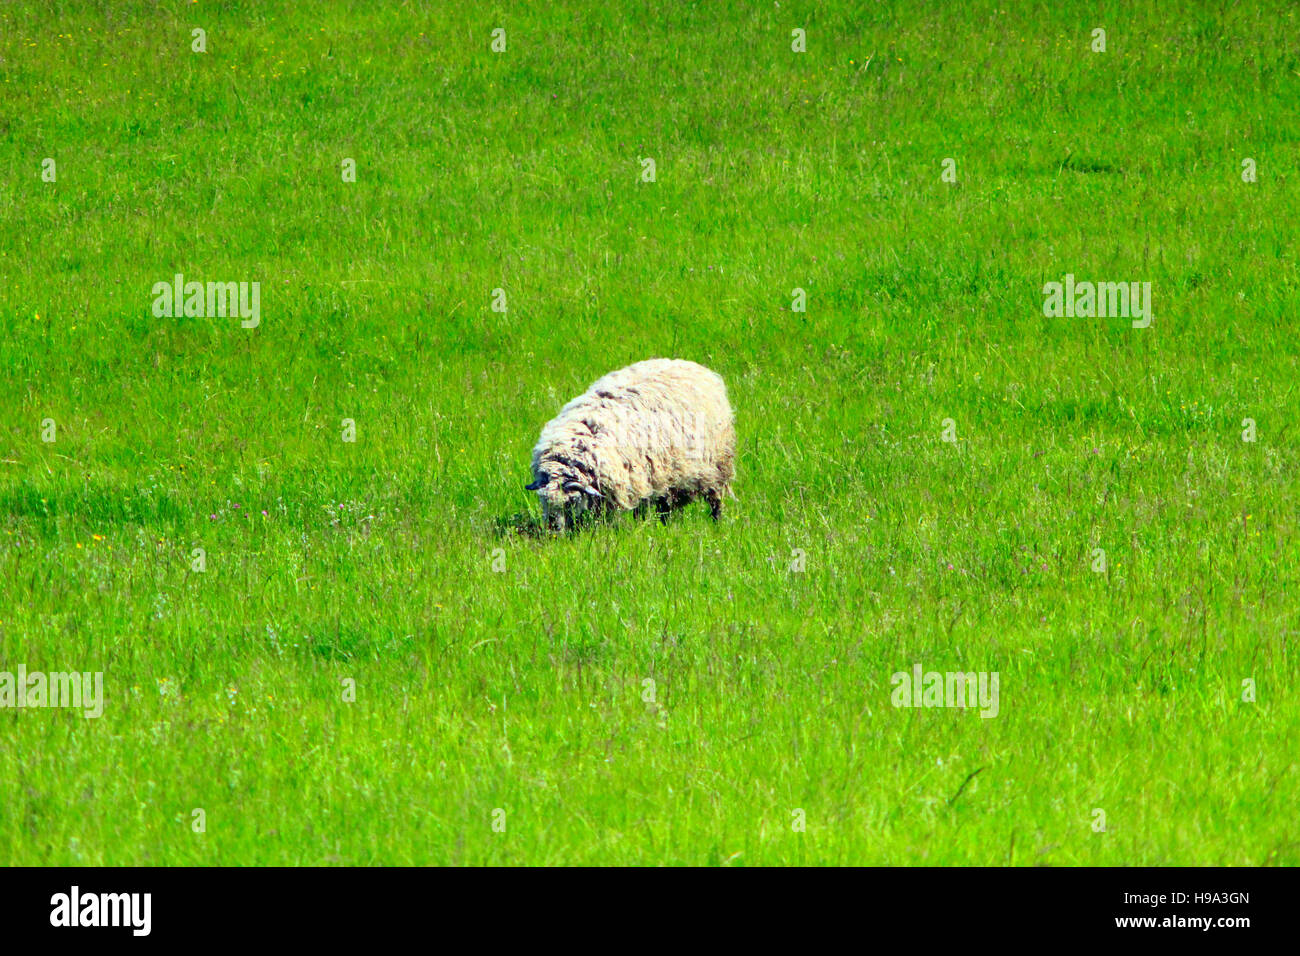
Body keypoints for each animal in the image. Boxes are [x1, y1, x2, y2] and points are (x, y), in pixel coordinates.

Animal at [525, 359, 736, 530]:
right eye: (543, 501)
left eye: (570, 501)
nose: (553, 528)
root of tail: (690, 364)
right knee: (668, 503)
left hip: (718, 464)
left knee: (715, 499)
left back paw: (717, 522)